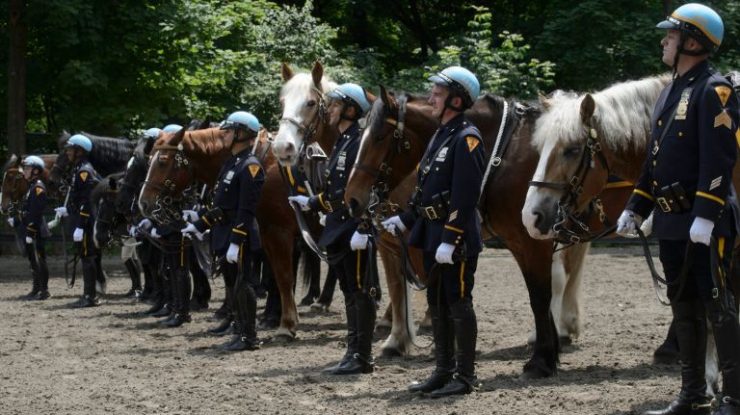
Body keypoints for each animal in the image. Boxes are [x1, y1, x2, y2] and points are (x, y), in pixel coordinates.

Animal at [343, 86, 614, 378]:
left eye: (379, 137)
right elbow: (403, 287)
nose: (352, 198)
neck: (503, 152)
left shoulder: (529, 241)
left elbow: (538, 294)